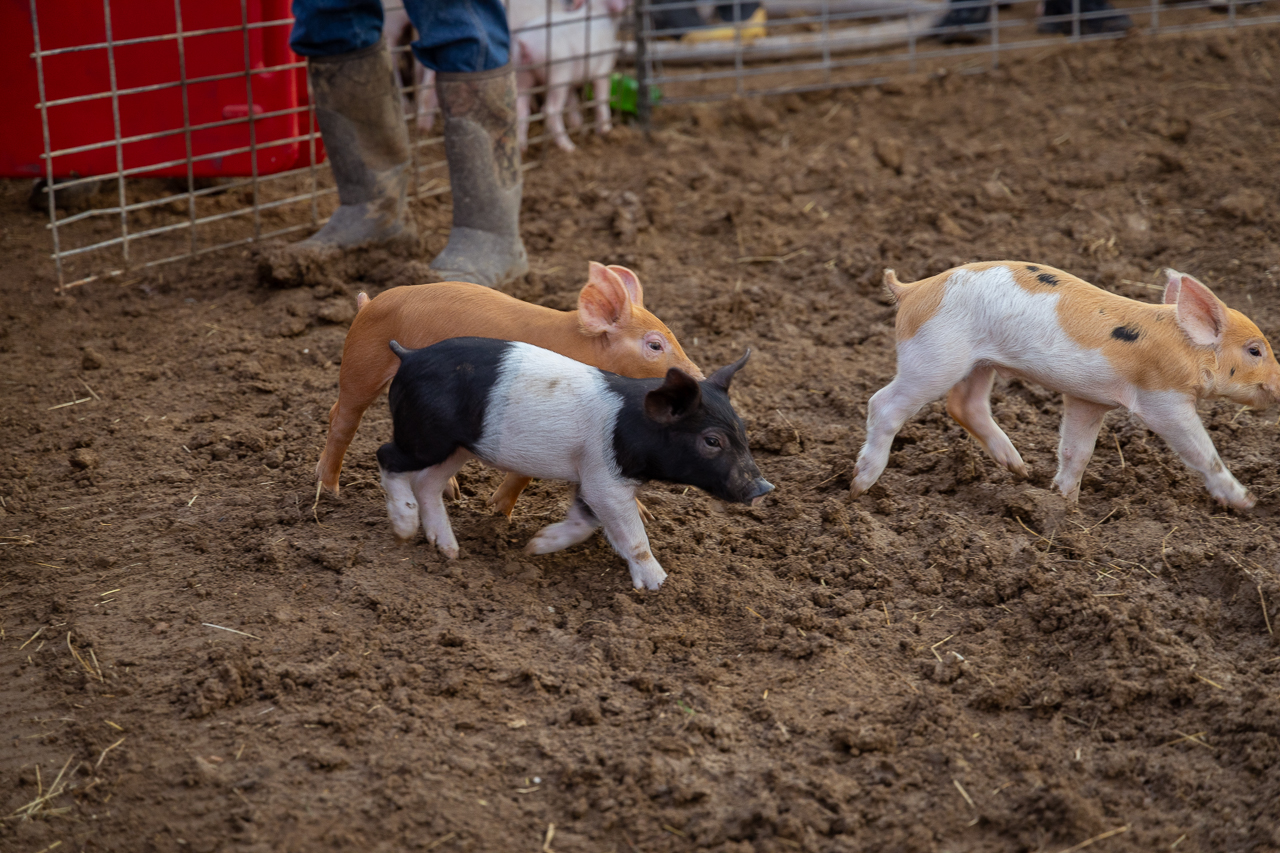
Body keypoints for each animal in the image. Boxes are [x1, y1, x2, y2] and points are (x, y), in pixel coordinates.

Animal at [316, 262, 702, 519]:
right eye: (655, 345)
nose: (698, 376)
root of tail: (368, 304)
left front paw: (645, 515)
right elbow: (525, 471)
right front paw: (498, 515)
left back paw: (451, 494)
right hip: (362, 361)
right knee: (343, 418)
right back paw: (330, 492)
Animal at [377, 337, 773, 590]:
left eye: (742, 430)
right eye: (712, 441)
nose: (763, 487)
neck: (633, 428)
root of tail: (409, 355)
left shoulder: (591, 477)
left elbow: (586, 519)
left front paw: (535, 546)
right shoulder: (605, 479)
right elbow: (633, 536)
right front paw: (660, 585)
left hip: (456, 446)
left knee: (428, 482)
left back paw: (450, 552)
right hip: (425, 436)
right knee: (386, 455)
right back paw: (404, 529)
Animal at [515, 0, 628, 152]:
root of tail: (525, 44)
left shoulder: (571, 83)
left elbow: (572, 103)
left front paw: (581, 129)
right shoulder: (603, 68)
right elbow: (601, 100)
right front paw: (606, 130)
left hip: (522, 73)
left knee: (521, 109)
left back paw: (522, 147)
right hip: (558, 74)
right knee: (549, 110)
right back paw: (569, 147)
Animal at [851, 262, 1280, 509]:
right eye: (1255, 350)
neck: (1184, 347)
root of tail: (912, 290)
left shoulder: (1087, 399)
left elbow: (1077, 451)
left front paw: (1065, 503)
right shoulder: (1163, 399)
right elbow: (1202, 451)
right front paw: (1248, 503)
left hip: (977, 363)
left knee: (965, 404)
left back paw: (1020, 470)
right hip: (934, 357)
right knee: (882, 403)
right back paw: (861, 486)